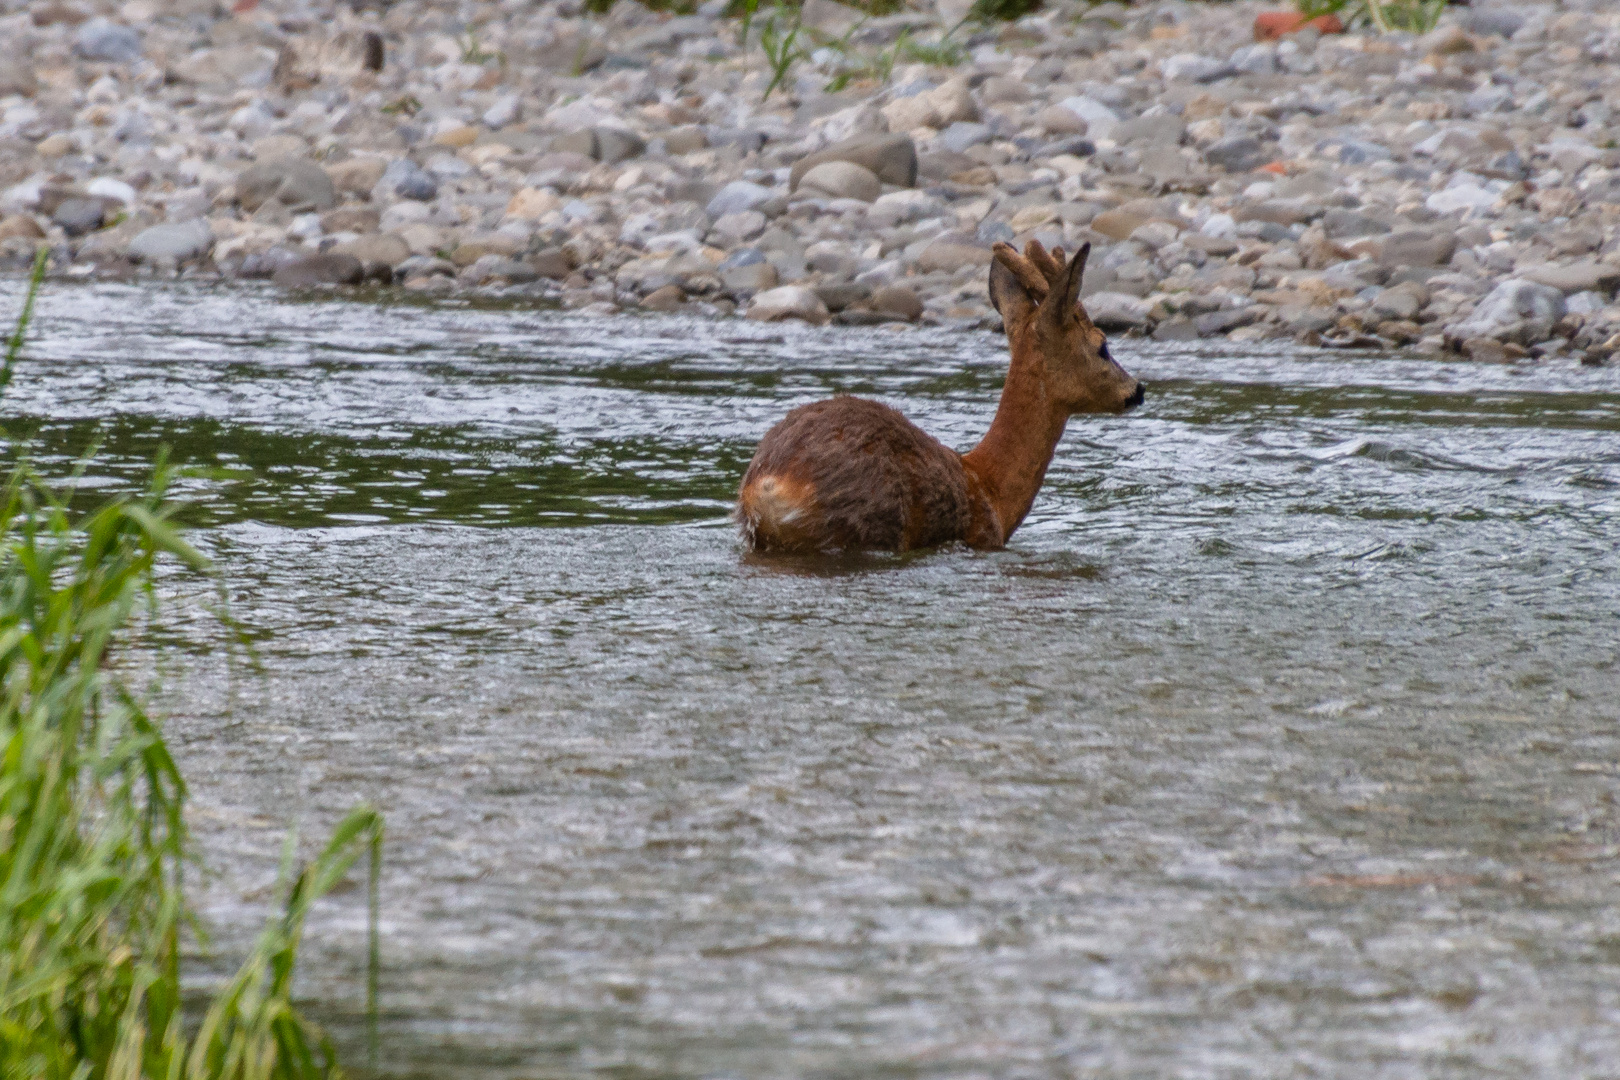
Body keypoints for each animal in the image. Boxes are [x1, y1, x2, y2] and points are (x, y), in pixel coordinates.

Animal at [736, 239, 1144, 554]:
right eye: (1103, 347)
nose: (1137, 390)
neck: (990, 488)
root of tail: (768, 487)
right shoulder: (983, 536)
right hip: (863, 523)